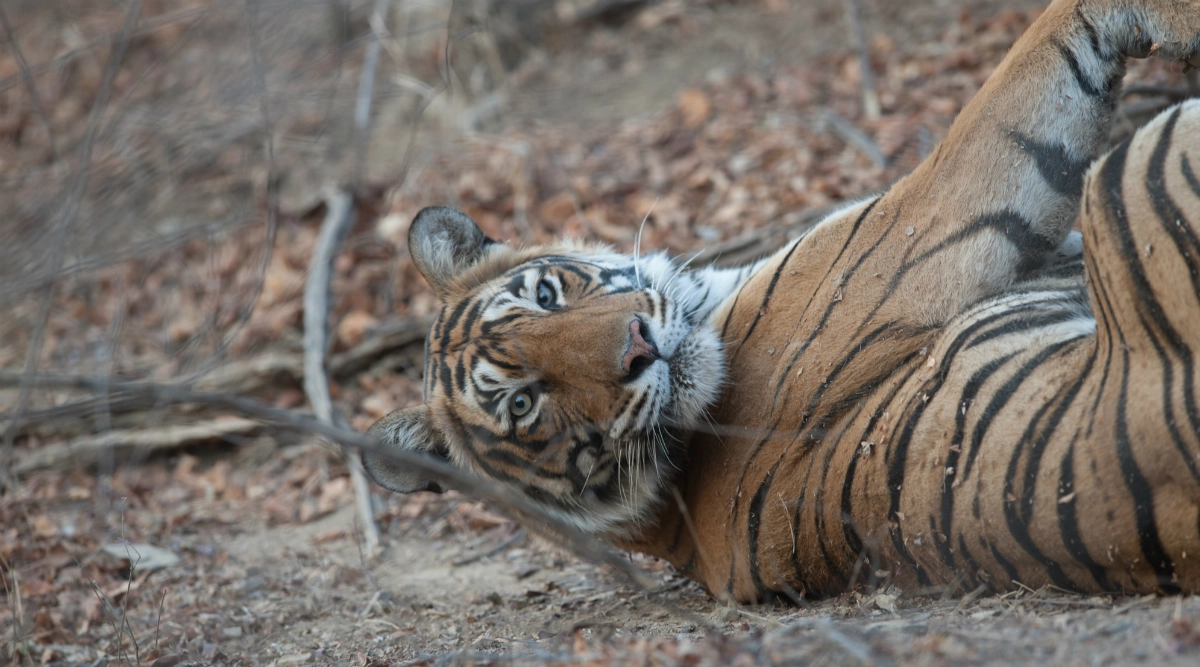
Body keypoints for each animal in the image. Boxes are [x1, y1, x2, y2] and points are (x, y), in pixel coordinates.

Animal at [362, 0, 1200, 604]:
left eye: (546, 293)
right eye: (523, 405)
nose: (638, 345)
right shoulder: (922, 225)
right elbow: (1025, 68)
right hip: (1142, 157)